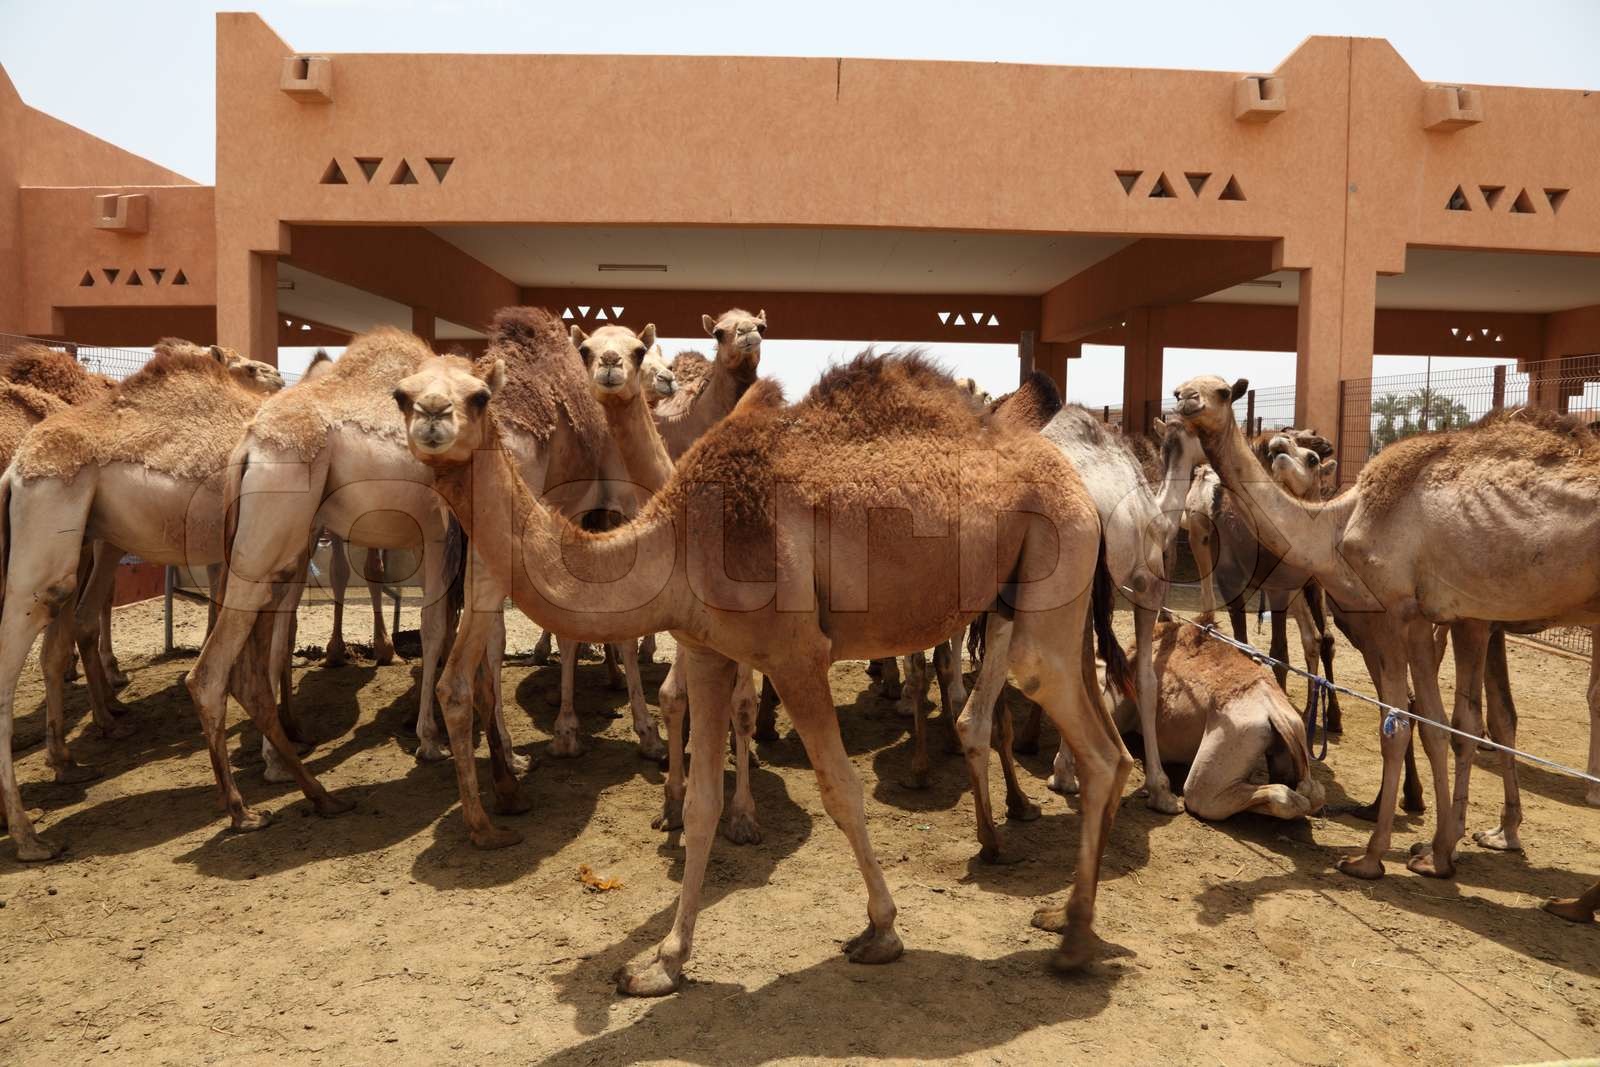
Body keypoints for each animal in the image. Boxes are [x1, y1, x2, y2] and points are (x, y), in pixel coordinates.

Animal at [0, 341, 285, 859]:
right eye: (247, 367)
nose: (274, 373)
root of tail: (13, 473)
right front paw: (271, 762)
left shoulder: (221, 554)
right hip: (45, 553)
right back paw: (29, 836)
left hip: (77, 546)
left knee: (59, 639)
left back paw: (68, 764)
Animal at [396, 349, 1130, 991]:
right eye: (402, 393)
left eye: (479, 396)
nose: (431, 418)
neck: (681, 532)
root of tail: (1079, 486)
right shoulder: (706, 649)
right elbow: (700, 805)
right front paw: (662, 964)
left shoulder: (794, 653)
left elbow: (841, 792)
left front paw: (883, 932)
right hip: (1048, 599)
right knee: (1114, 748)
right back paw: (1066, 917)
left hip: (1049, 576)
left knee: (1086, 739)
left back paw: (1072, 939)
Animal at [1174, 379, 1600, 880]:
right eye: (1182, 389)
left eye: (1223, 391)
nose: (1187, 400)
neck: (1342, 521)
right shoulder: (1435, 618)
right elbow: (1441, 724)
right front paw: (1440, 849)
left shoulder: (1400, 614)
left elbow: (1411, 723)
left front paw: (1374, 856)